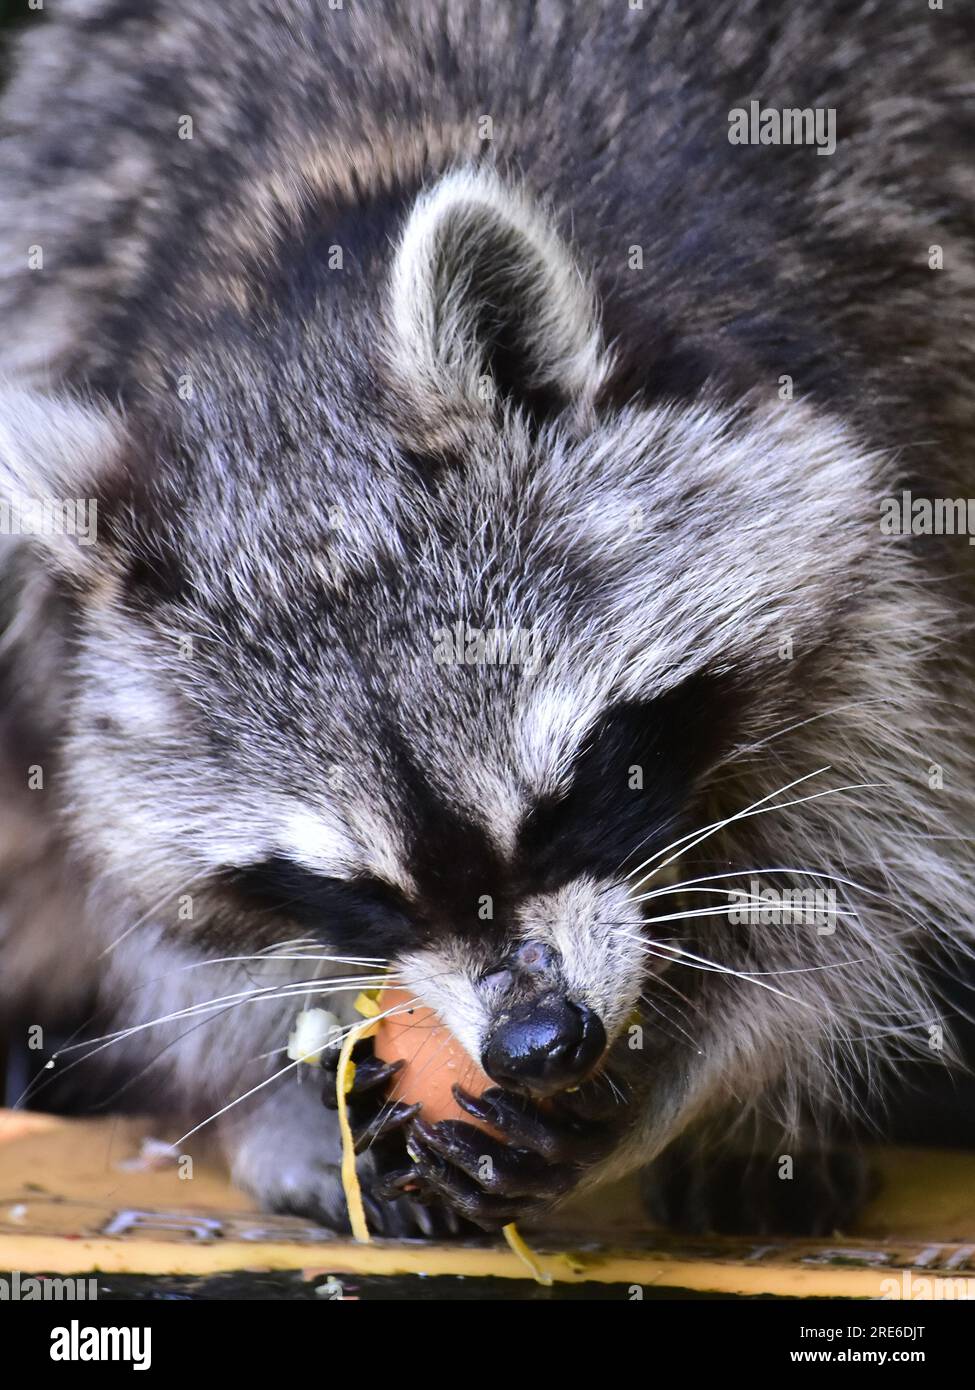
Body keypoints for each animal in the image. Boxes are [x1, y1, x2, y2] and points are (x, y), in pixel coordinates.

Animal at [1, 0, 974, 1237]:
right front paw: (277, 1099)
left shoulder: (892, 532)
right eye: (360, 893)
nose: (540, 1042)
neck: (296, 308)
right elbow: (156, 918)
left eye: (575, 796)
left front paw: (684, 1082)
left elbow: (853, 881)